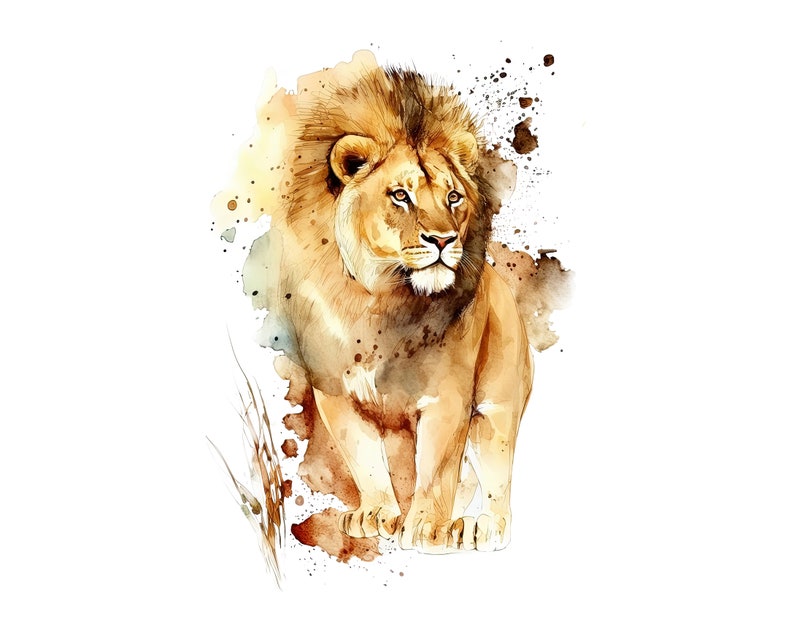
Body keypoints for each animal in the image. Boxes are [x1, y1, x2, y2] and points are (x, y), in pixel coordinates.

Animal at [233, 52, 534, 553]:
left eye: (453, 196)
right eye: (400, 195)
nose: (443, 239)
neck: (382, 301)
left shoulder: (447, 395)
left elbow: (436, 467)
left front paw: (428, 528)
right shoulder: (334, 388)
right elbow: (364, 458)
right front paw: (376, 515)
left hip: (498, 402)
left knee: (495, 472)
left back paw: (481, 526)